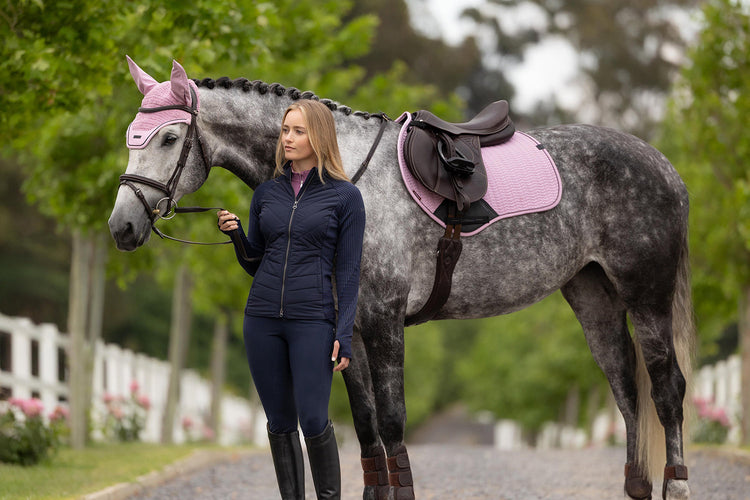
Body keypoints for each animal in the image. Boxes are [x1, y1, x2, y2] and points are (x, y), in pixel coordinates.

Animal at [109, 58, 694, 500]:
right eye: (130, 137)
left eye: (169, 137)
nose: (122, 226)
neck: (343, 175)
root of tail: (665, 166)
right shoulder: (346, 330)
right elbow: (366, 424)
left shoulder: (383, 321)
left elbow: (391, 422)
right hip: (592, 294)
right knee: (626, 390)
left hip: (646, 296)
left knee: (667, 390)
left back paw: (677, 485)